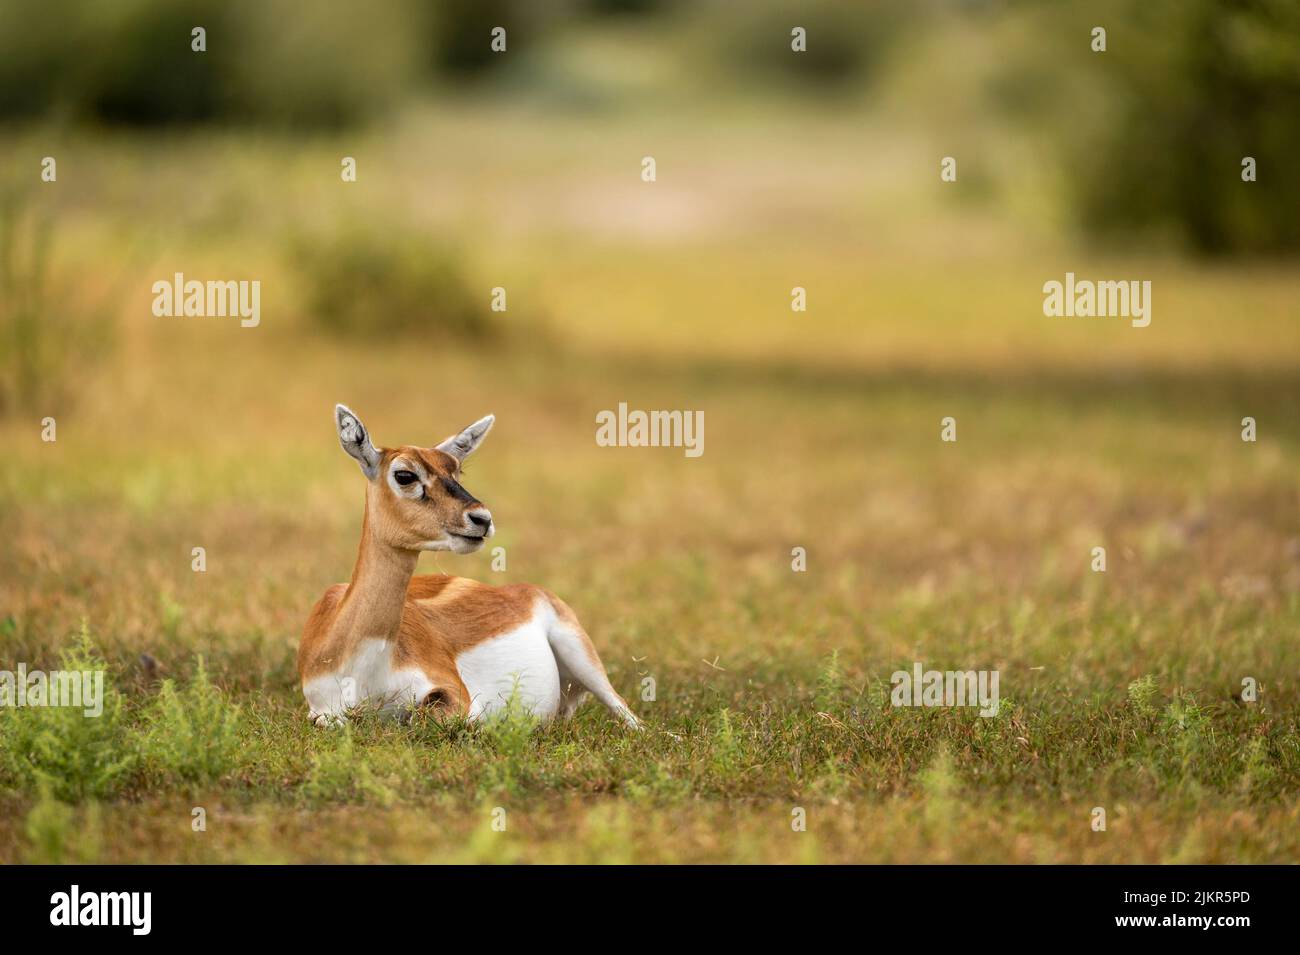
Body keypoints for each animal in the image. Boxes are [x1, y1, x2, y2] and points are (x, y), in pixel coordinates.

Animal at [297, 405, 640, 730]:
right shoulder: (320, 709)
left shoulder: (453, 692)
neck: (358, 665)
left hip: (583, 657)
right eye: (404, 475)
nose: (481, 519)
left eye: (456, 470)